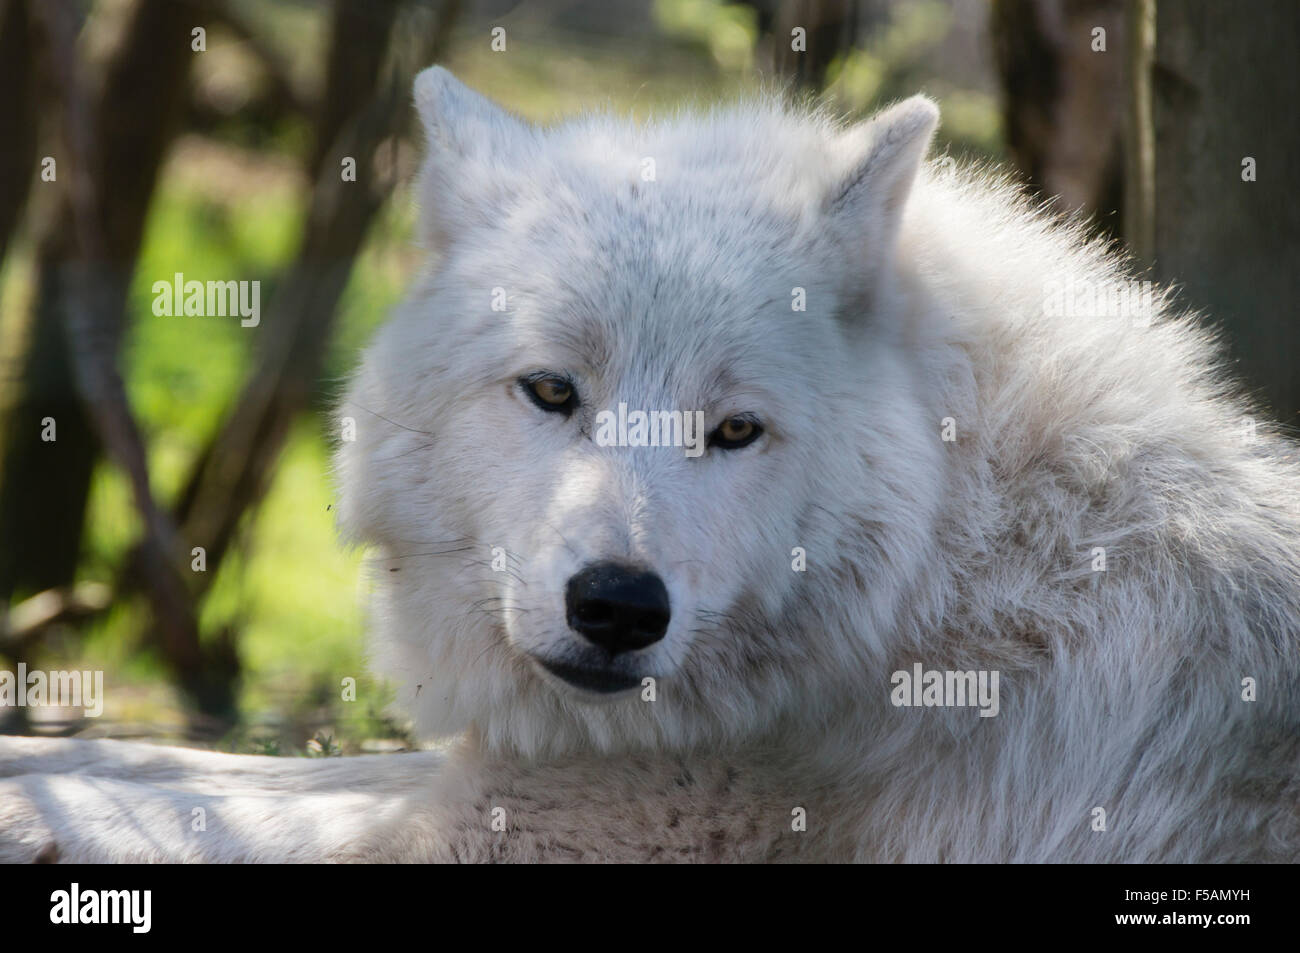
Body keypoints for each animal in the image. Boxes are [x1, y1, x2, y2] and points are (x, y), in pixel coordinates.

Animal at [2, 67, 1299, 862]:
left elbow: (205, 810)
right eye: (551, 391)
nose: (619, 606)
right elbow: (179, 763)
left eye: (733, 429)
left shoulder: (535, 823)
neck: (946, 581)